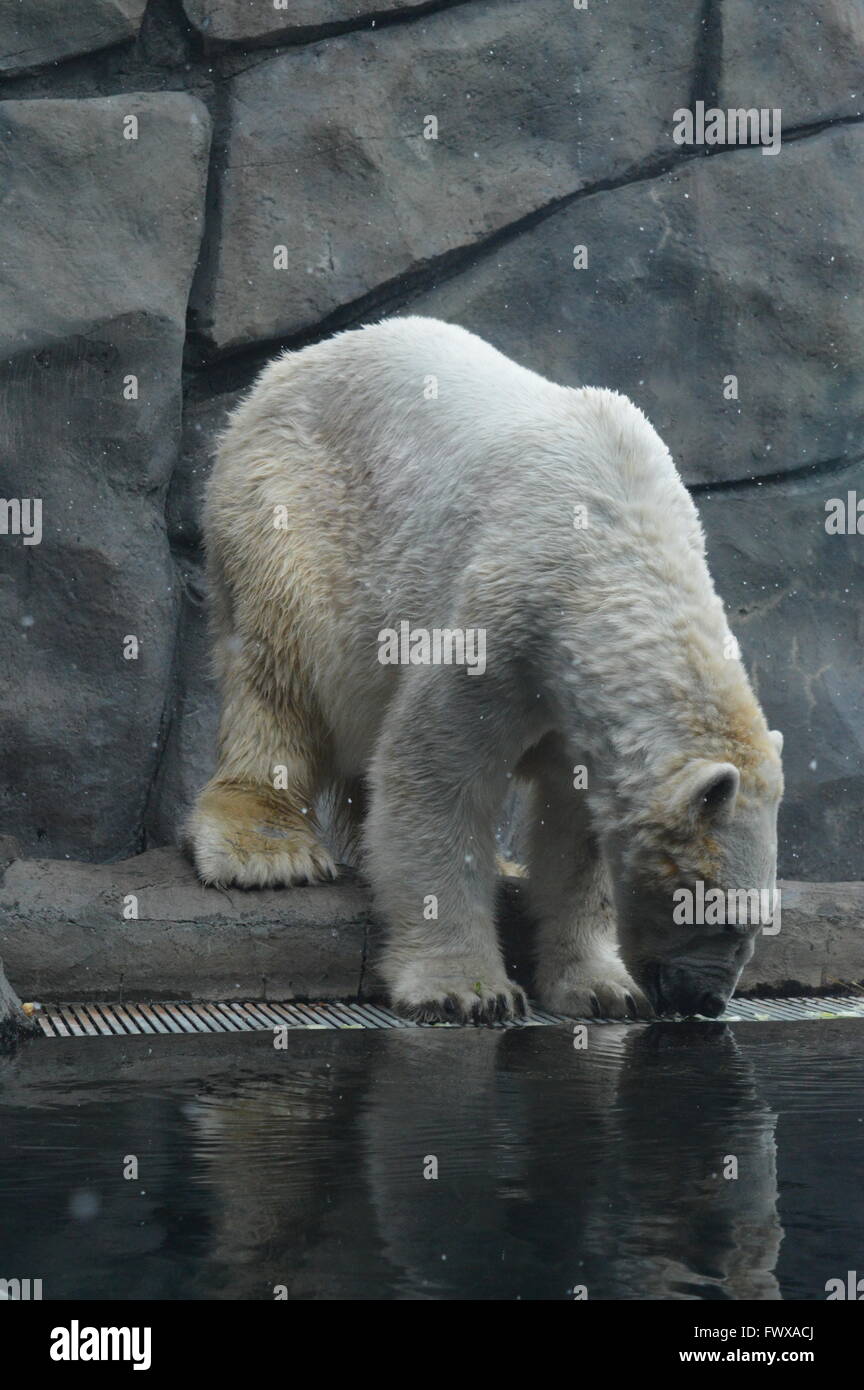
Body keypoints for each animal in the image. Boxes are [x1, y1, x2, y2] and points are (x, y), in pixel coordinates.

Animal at [184, 316, 783, 1023]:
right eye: (713, 912)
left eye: (759, 922)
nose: (707, 1001)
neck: (621, 543)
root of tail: (283, 368)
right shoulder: (507, 614)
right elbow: (435, 773)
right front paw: (466, 990)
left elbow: (575, 829)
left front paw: (603, 987)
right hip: (287, 511)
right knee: (281, 672)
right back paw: (267, 847)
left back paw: (502, 868)